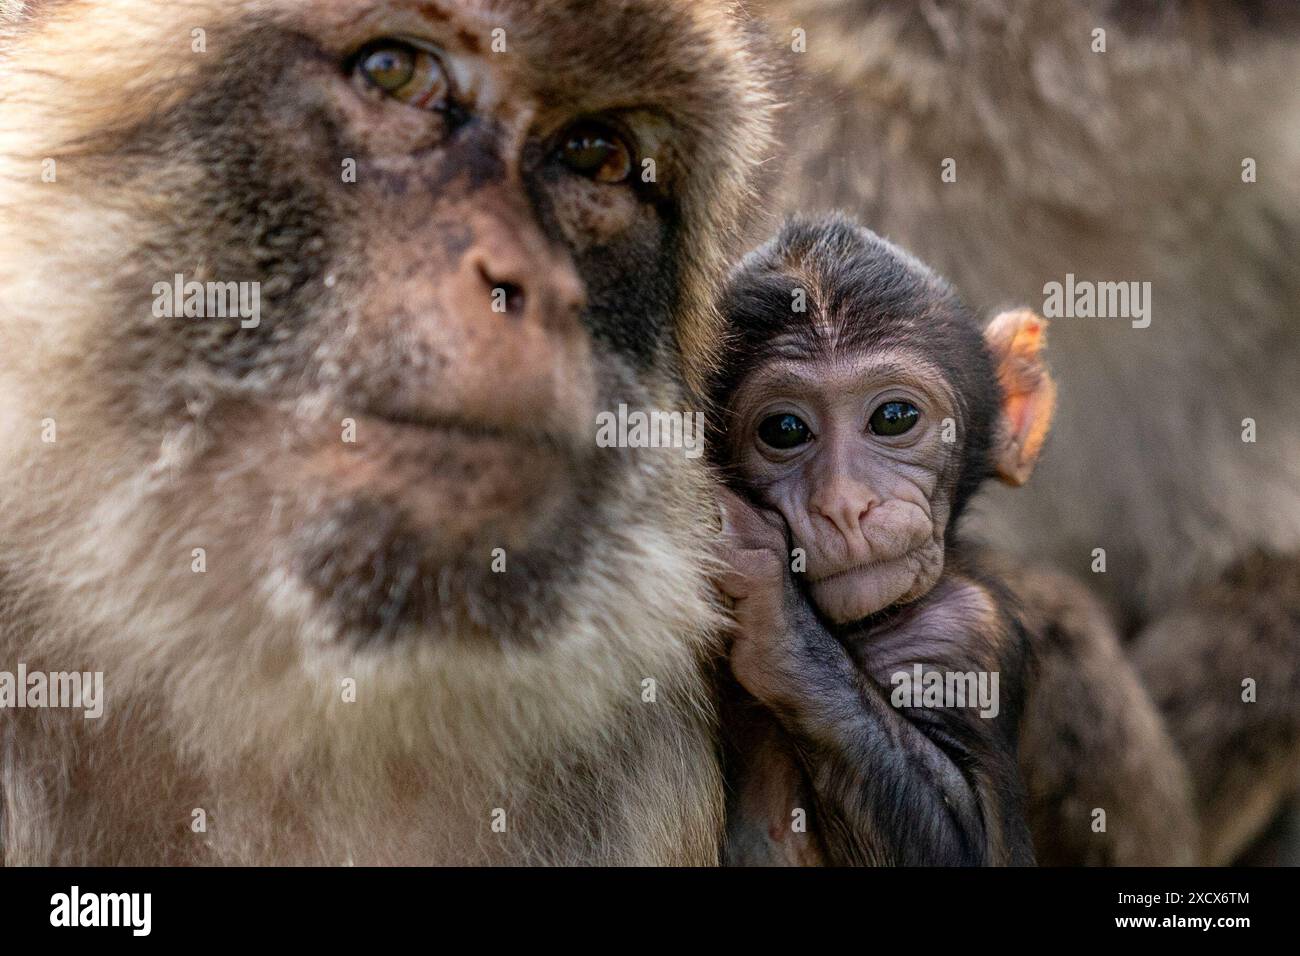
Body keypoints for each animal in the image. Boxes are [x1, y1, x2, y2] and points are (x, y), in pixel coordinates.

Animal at [710, 214, 1049, 865]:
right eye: (784, 429)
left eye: (894, 418)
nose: (843, 505)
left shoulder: (967, 632)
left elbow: (967, 845)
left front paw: (778, 616)